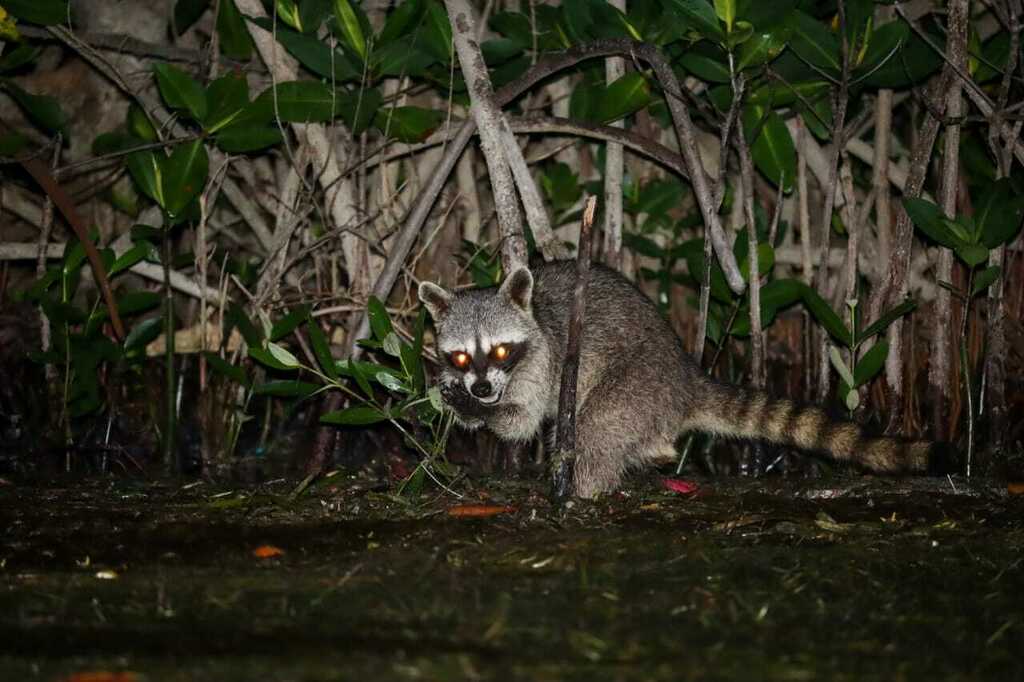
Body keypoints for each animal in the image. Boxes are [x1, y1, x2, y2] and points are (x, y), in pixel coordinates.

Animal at [419, 261, 946, 498]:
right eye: (461, 355)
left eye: (500, 349)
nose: (482, 390)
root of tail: (685, 375)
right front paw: (461, 405)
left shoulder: (544, 360)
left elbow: (523, 421)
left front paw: (479, 410)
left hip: (640, 381)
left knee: (596, 428)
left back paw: (577, 494)